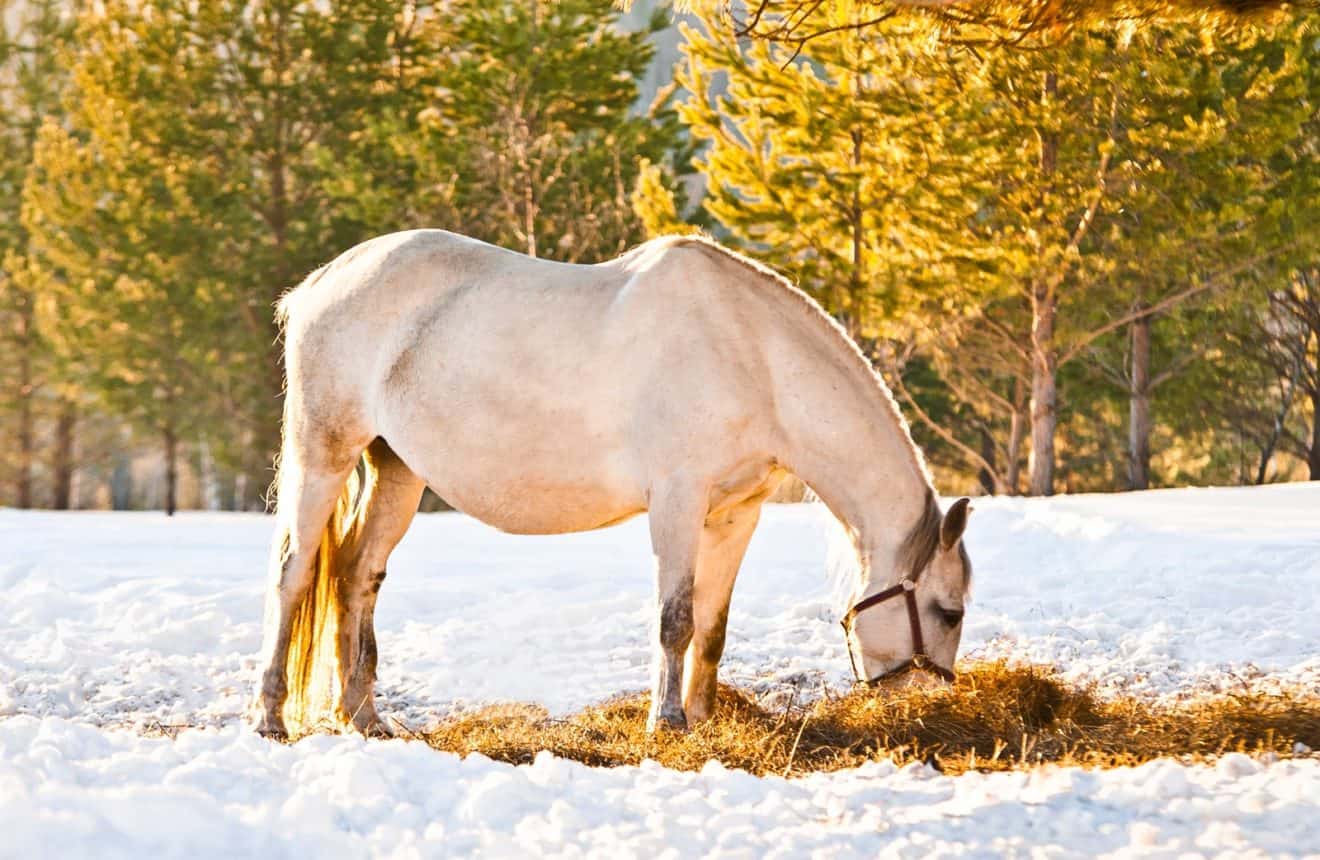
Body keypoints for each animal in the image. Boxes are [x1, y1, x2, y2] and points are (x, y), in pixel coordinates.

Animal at [251, 229, 973, 739]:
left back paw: (363, 717)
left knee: (355, 576)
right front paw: (668, 721)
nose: (928, 702)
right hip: (324, 455)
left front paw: (703, 717)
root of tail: (319, 284)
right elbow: (674, 619)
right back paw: (271, 717)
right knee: (294, 576)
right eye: (949, 611)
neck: (752, 355)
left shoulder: (735, 514)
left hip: (396, 469)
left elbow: (711, 625)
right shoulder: (677, 501)